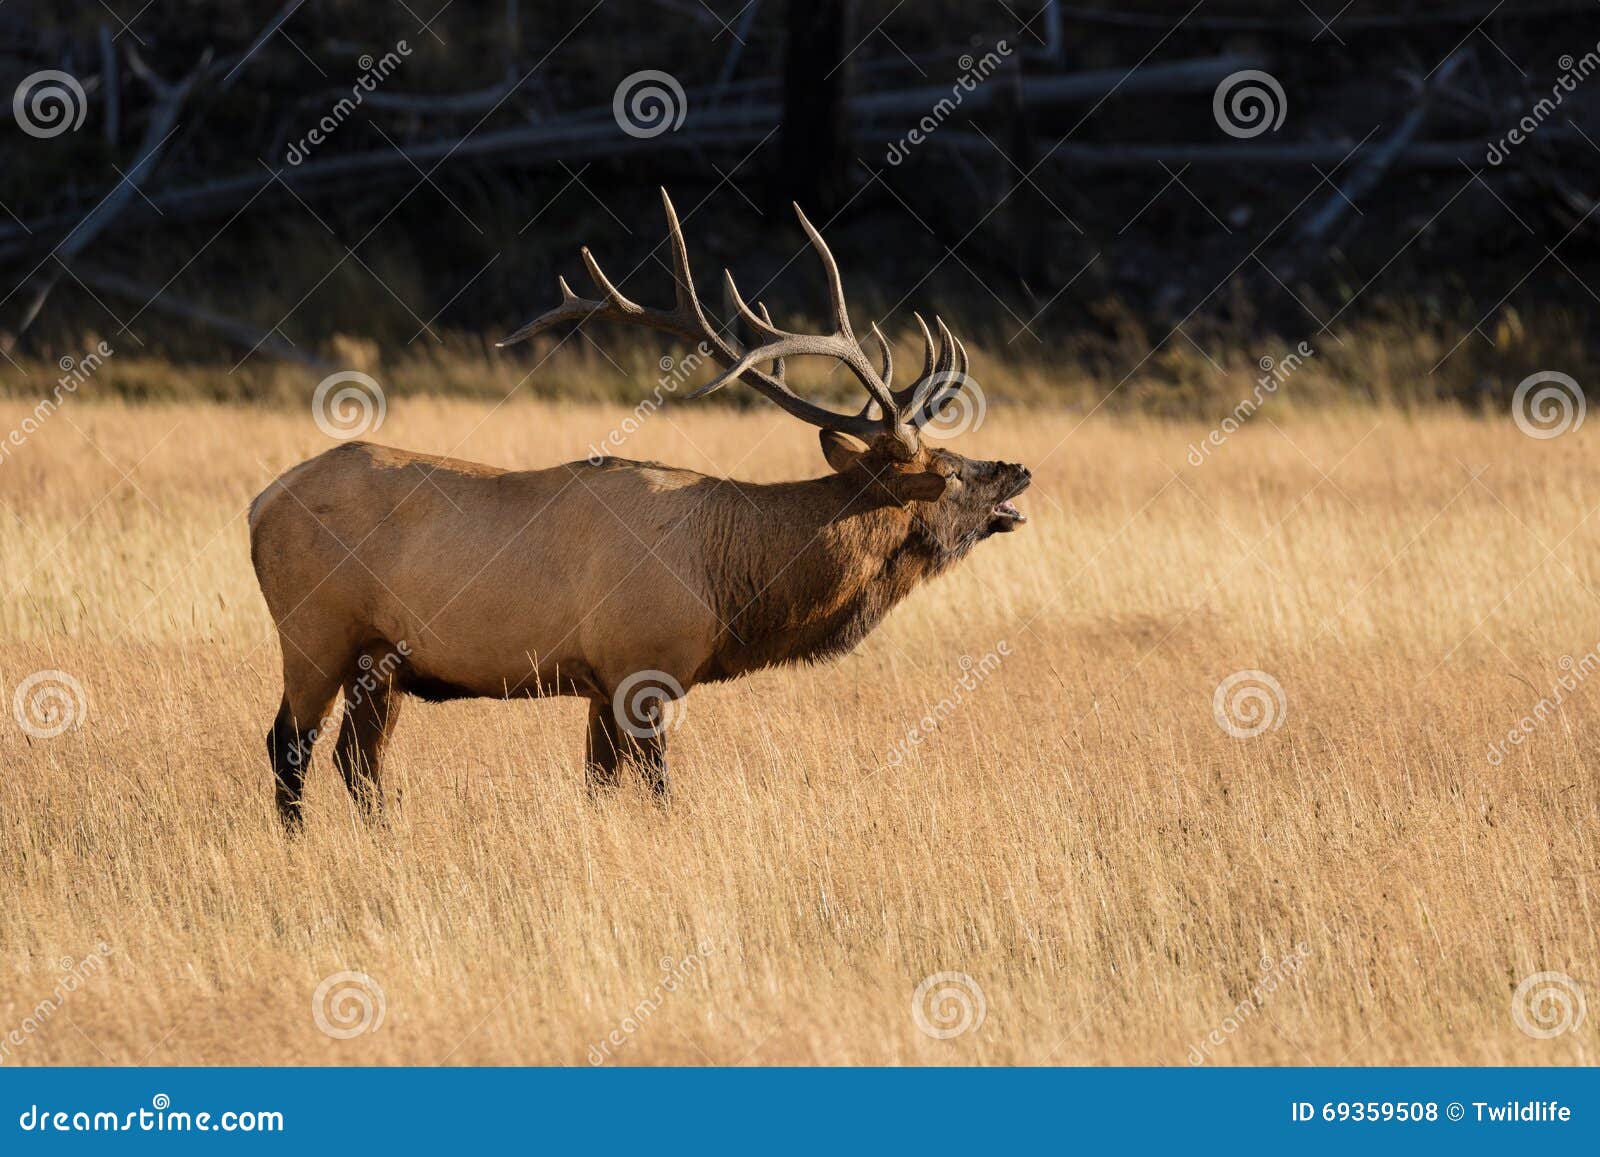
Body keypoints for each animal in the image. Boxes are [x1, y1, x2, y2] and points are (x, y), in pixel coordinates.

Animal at [249, 189, 1031, 830]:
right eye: (950, 471)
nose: (1017, 471)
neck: (732, 585)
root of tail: (259, 505)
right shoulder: (643, 666)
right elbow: (657, 789)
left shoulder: (601, 681)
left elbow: (598, 786)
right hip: (315, 631)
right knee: (290, 744)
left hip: (381, 660)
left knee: (358, 761)